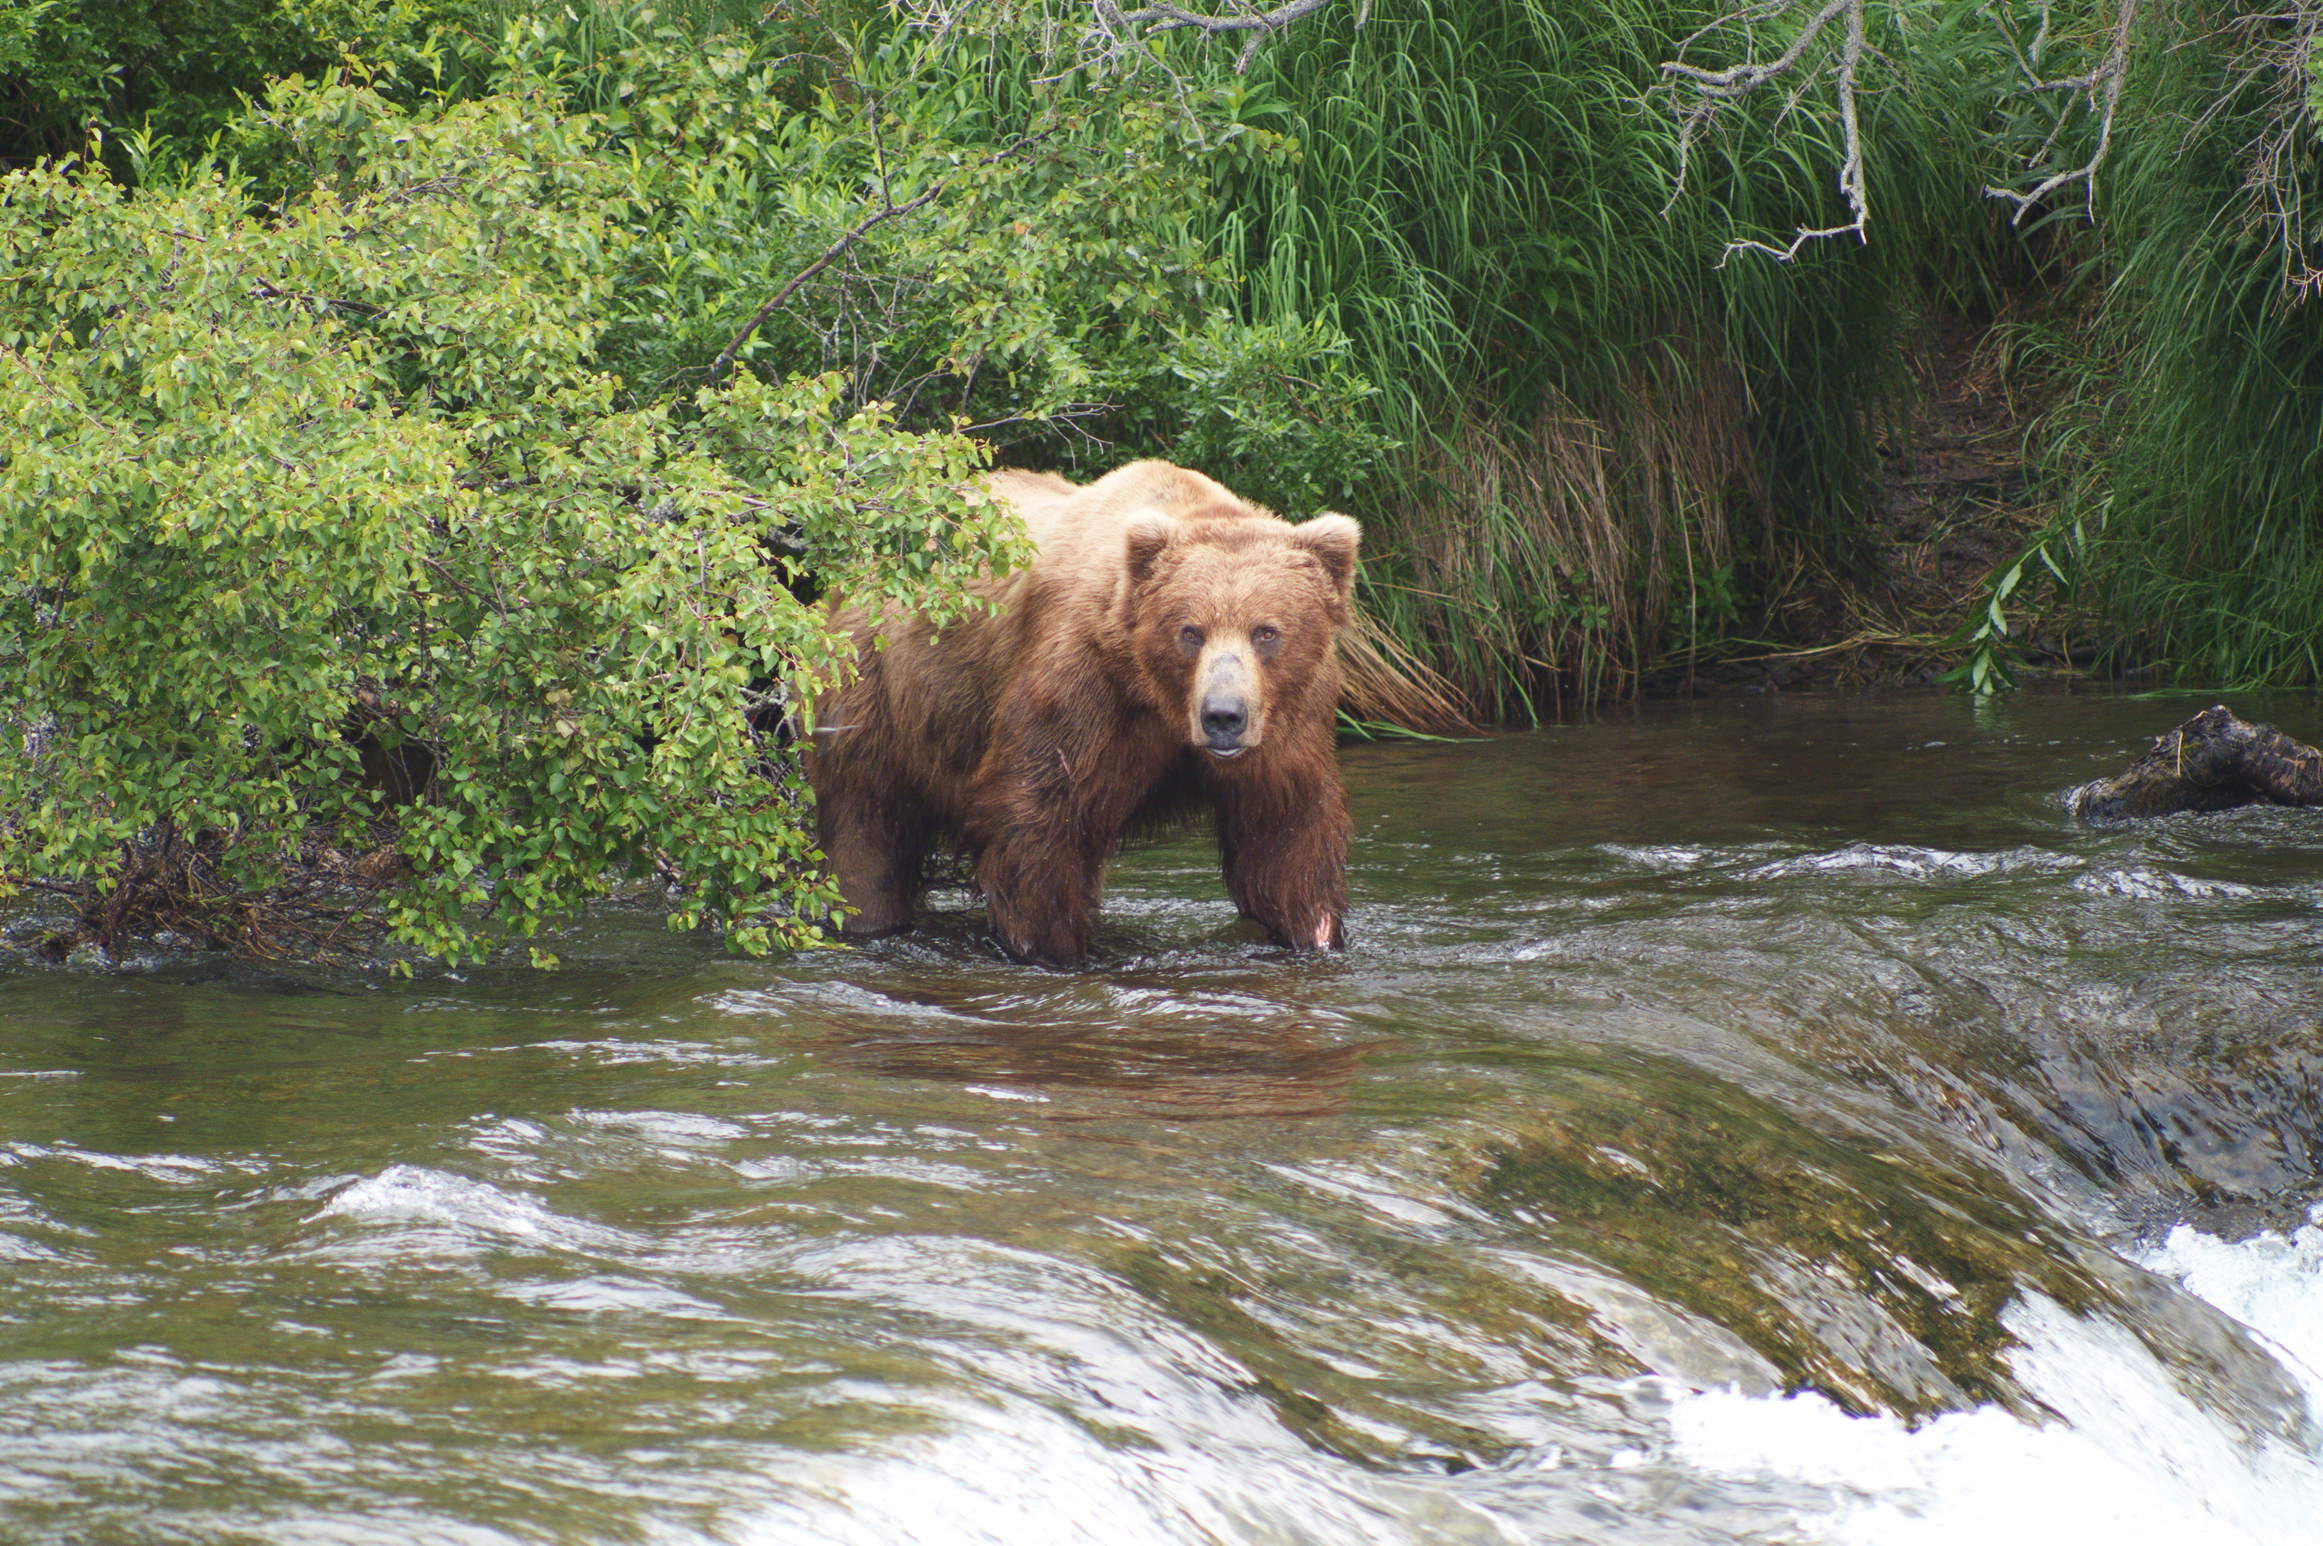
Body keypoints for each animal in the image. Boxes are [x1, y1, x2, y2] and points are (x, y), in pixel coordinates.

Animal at [805, 460, 1359, 967]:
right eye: (1190, 631)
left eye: (1267, 631)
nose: (1223, 715)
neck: (1156, 695)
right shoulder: (1080, 687)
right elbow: (1037, 818)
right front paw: (1053, 949)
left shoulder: (1289, 716)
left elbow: (1286, 833)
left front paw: (1312, 934)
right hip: (876, 688)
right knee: (867, 826)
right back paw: (870, 920)